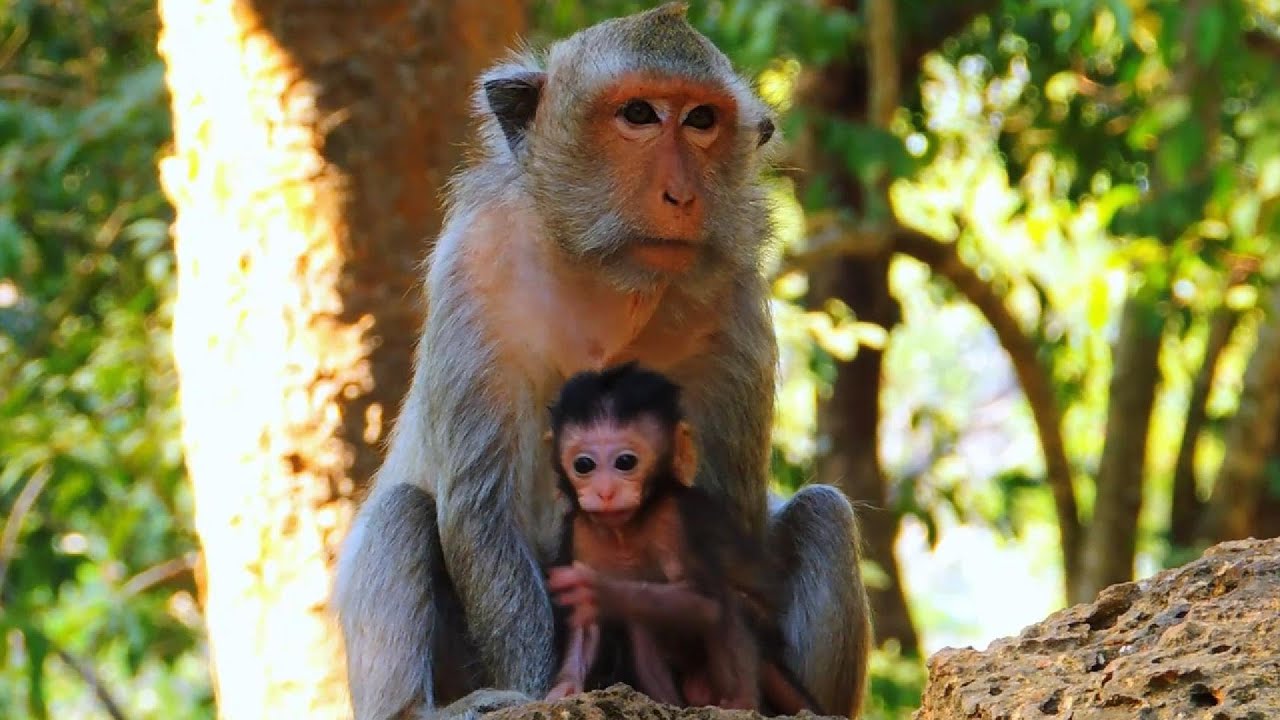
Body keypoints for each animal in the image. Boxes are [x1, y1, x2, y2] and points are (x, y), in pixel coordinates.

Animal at [542, 363, 823, 716]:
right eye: (583, 465)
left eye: (625, 462)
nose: (605, 492)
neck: (626, 529)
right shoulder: (581, 533)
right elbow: (585, 629)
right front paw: (565, 687)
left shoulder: (671, 520)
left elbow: (706, 601)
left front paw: (603, 590)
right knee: (642, 624)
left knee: (728, 603)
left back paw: (740, 702)